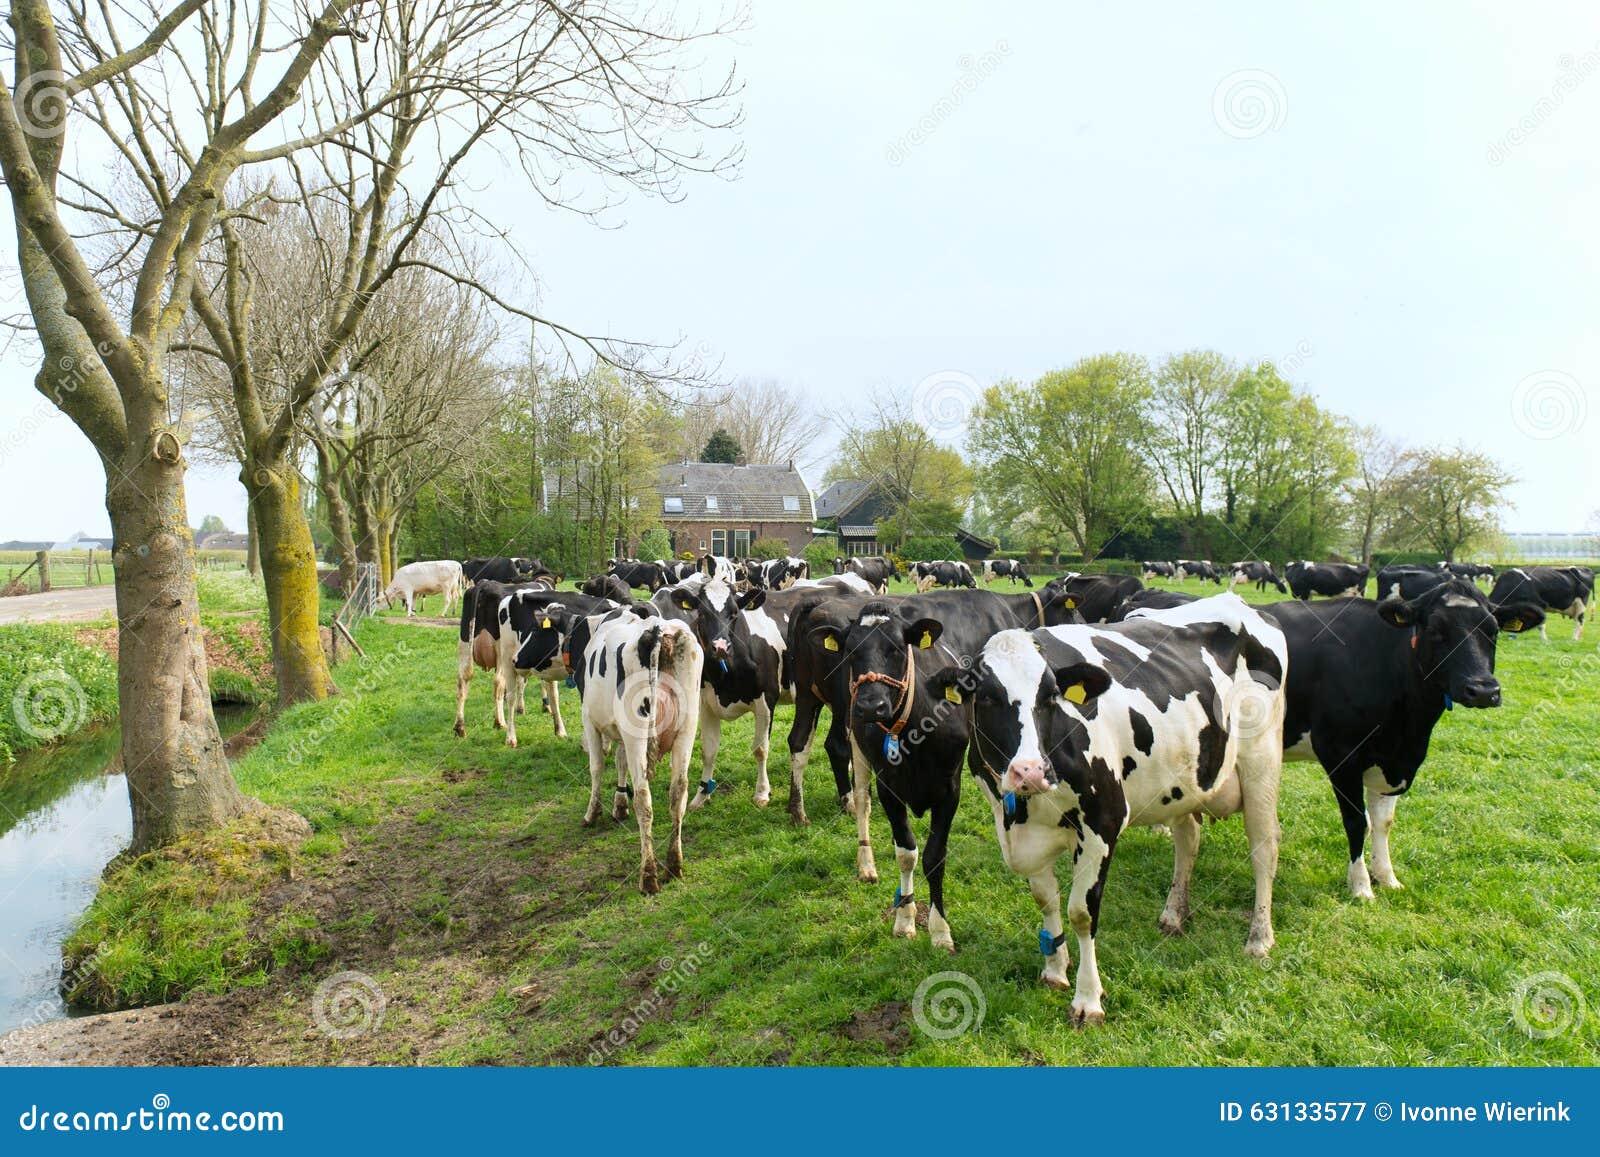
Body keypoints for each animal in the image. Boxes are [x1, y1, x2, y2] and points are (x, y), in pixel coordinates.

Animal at [569, 608, 704, 894]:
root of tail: (658, 630)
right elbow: (620, 762)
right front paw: (619, 805)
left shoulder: (589, 721)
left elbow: (596, 767)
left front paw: (592, 813)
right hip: (687, 729)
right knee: (678, 793)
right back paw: (674, 866)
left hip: (637, 735)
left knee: (644, 799)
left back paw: (648, 876)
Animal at [940, 594, 1288, 1022]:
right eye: (986, 696)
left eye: (1050, 696)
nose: (1030, 771)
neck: (1020, 811)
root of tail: (1243, 603)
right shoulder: (1021, 829)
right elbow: (1045, 898)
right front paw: (1054, 969)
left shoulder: (1102, 822)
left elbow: (1081, 912)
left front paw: (1088, 999)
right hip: (1184, 778)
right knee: (1188, 839)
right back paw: (1174, 914)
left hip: (1261, 762)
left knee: (1264, 848)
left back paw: (1259, 937)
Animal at [1266, 580, 1544, 899]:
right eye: (1435, 629)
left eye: (1493, 630)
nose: (1484, 690)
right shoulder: (1340, 753)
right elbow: (1357, 821)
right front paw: (1361, 886)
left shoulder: (1395, 759)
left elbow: (1383, 822)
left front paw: (1387, 877)